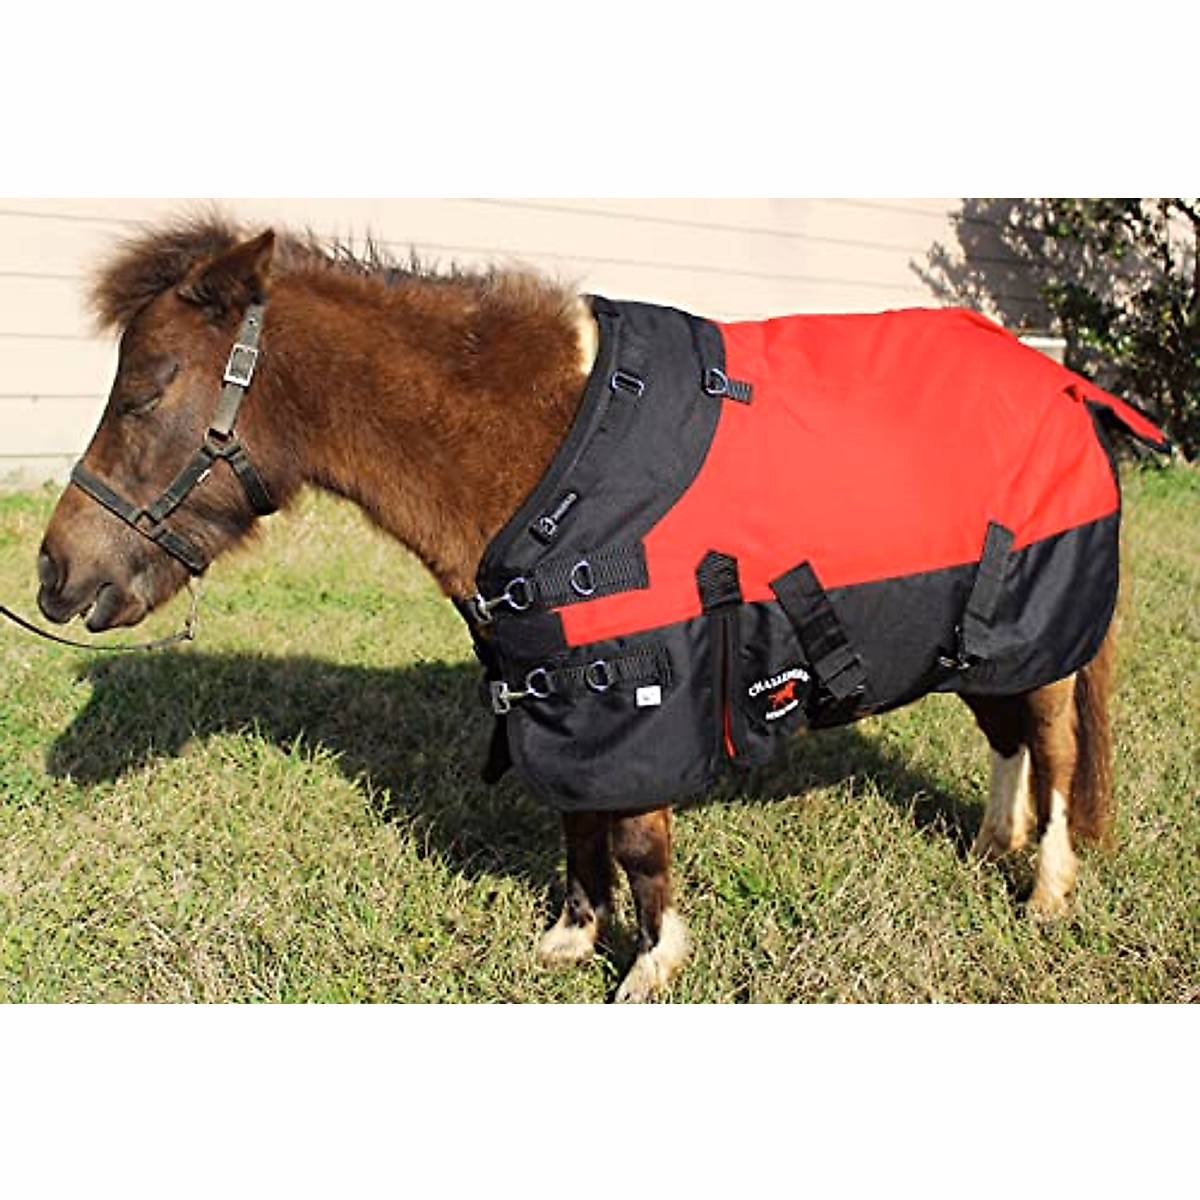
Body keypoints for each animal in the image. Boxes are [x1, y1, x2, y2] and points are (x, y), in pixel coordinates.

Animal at [36, 215, 1153, 1002]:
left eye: (147, 391)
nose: (54, 573)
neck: (544, 446)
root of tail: (1065, 385)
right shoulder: (555, 681)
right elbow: (578, 822)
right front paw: (571, 937)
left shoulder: (641, 683)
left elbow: (638, 836)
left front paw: (653, 963)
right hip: (968, 638)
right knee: (1007, 737)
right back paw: (992, 844)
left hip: (1038, 632)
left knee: (1054, 749)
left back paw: (1047, 891)